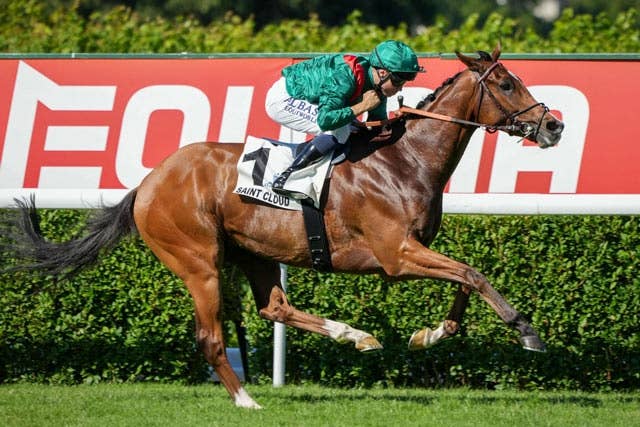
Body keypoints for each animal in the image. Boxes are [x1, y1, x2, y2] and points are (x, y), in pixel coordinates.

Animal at [2, 44, 563, 409]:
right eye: (507, 83)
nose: (554, 125)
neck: (404, 160)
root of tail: (147, 182)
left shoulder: (413, 251)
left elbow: (464, 282)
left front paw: (430, 334)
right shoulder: (396, 255)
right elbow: (472, 273)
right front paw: (527, 331)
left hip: (254, 251)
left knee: (275, 306)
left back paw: (354, 335)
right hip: (199, 262)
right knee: (211, 337)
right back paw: (247, 401)